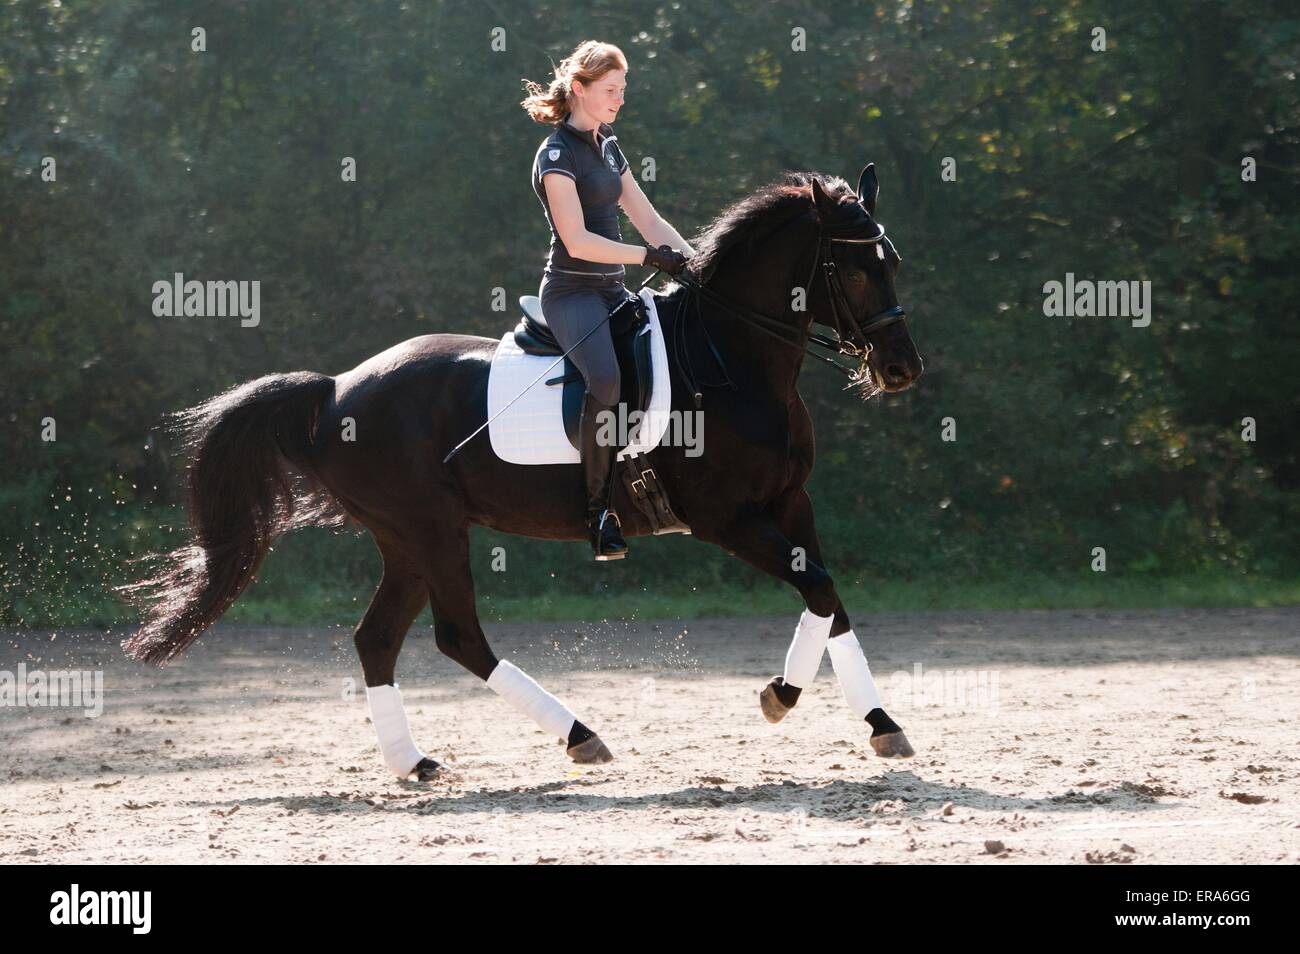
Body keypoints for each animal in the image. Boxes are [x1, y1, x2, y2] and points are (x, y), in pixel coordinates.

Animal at [120, 164, 925, 781]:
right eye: (857, 267)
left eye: (891, 263)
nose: (902, 369)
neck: (733, 359)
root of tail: (336, 390)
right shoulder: (725, 518)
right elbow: (817, 588)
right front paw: (780, 695)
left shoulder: (790, 503)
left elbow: (830, 597)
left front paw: (882, 723)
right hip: (431, 529)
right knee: (457, 637)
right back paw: (580, 735)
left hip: (407, 540)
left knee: (378, 640)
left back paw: (414, 762)